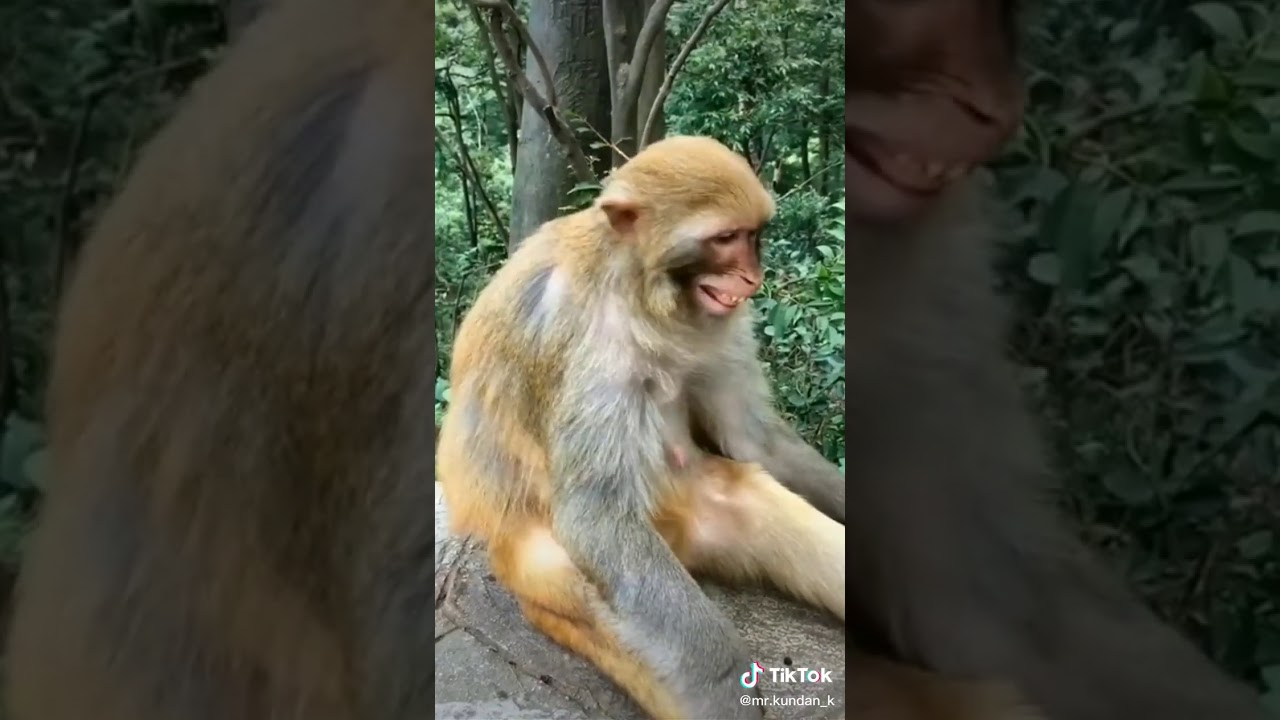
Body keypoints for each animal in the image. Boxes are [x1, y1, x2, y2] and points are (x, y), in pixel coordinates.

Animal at [436, 134, 1041, 720]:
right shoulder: (593, 344)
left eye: (754, 235)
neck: (641, 291)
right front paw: (726, 682)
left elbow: (755, 440)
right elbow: (595, 513)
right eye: (725, 238)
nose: (752, 278)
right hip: (552, 565)